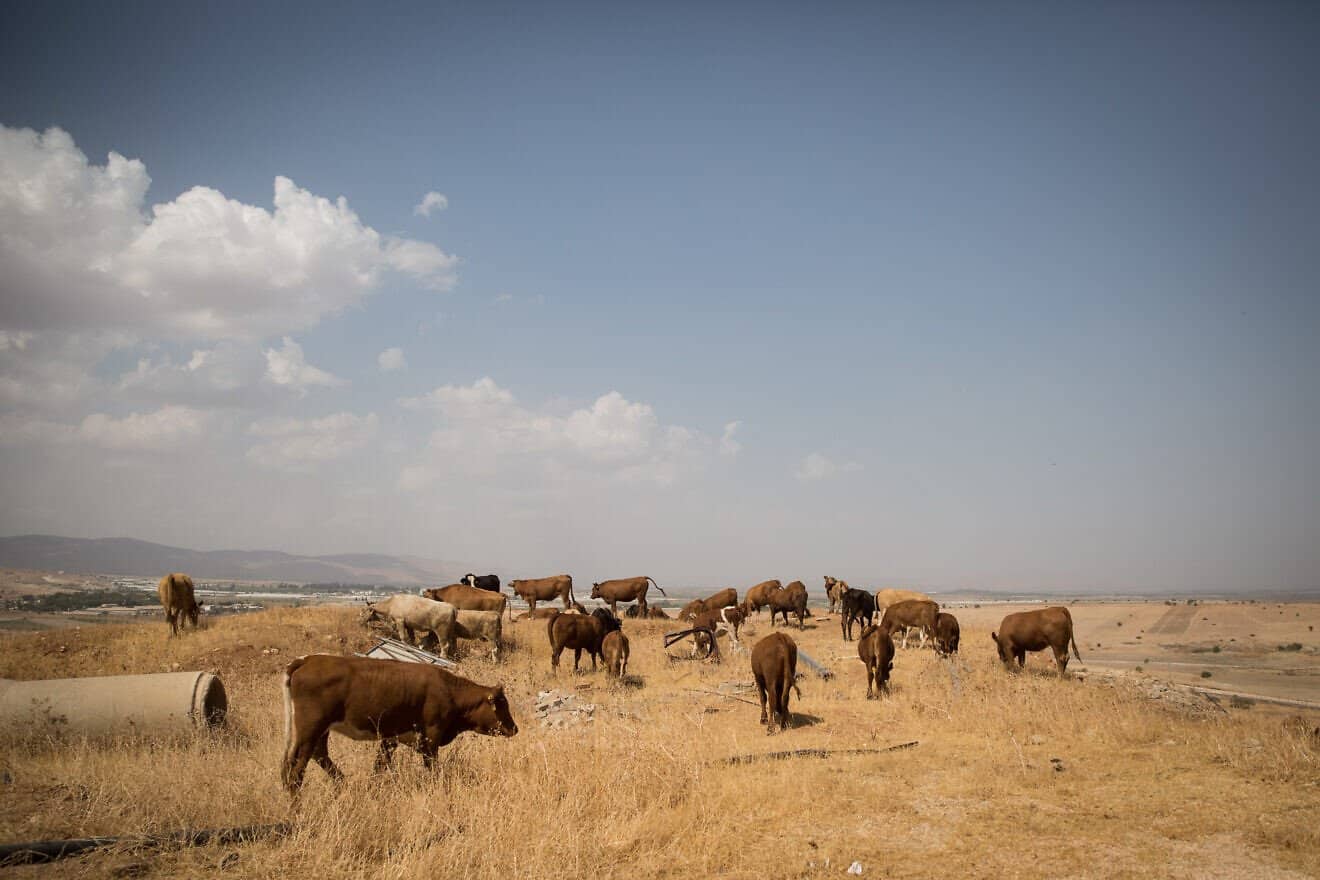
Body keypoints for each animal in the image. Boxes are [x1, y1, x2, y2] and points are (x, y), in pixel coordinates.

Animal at [280, 654, 517, 794]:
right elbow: (432, 767)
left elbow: (380, 764)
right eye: (502, 704)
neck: (449, 691)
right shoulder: (431, 737)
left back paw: (343, 784)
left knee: (319, 755)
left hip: (321, 730)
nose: (514, 728)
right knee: (298, 770)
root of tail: (308, 660)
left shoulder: (390, 738)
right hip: (310, 729)